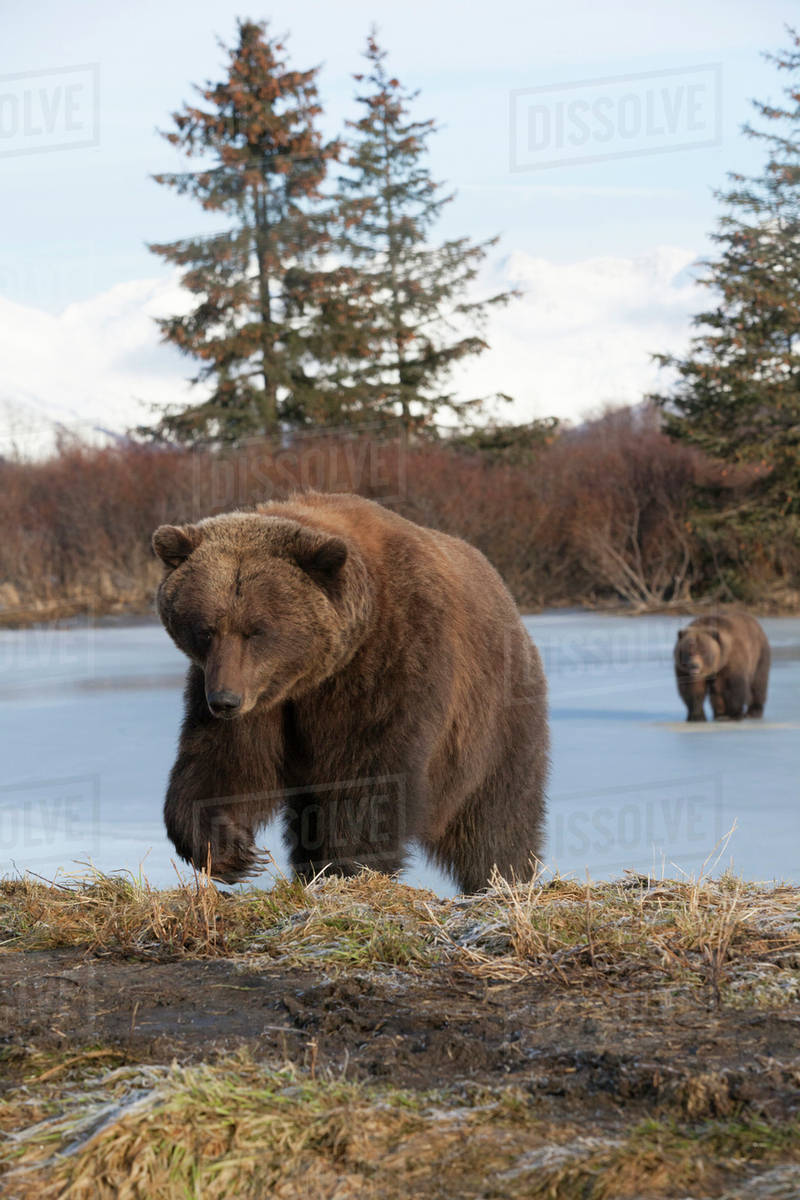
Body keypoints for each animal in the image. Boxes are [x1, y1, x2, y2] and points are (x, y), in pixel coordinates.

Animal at [152, 491, 549, 892]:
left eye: (257, 630)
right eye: (205, 629)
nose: (225, 701)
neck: (311, 677)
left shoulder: (390, 663)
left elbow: (367, 775)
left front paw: (348, 866)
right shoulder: (258, 697)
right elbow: (226, 763)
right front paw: (232, 852)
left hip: (493, 725)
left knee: (495, 820)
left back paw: (505, 877)